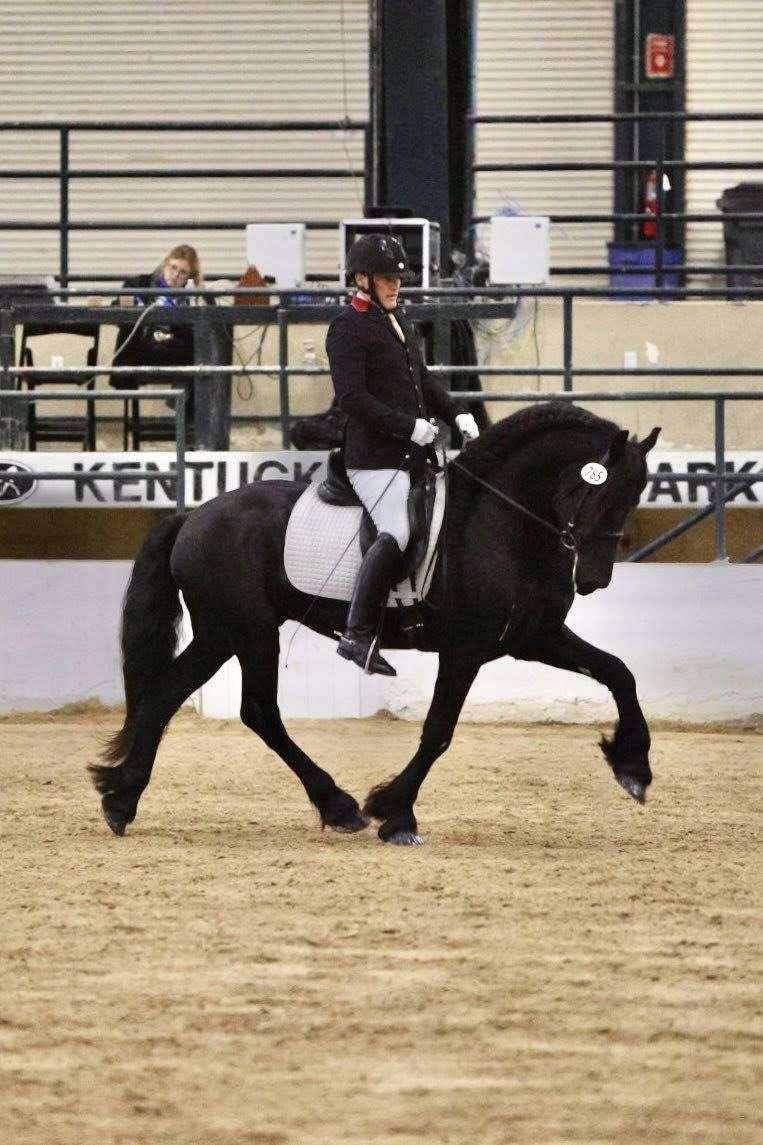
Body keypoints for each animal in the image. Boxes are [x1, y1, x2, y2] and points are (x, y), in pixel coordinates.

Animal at [88, 402, 660, 845]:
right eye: (599, 491)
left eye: (634, 496)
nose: (593, 579)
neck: (500, 523)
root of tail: (195, 515)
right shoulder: (466, 649)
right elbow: (438, 732)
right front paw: (395, 812)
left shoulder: (534, 637)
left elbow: (620, 672)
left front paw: (632, 768)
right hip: (246, 631)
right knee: (258, 711)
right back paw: (338, 805)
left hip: (219, 634)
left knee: (166, 696)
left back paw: (121, 799)